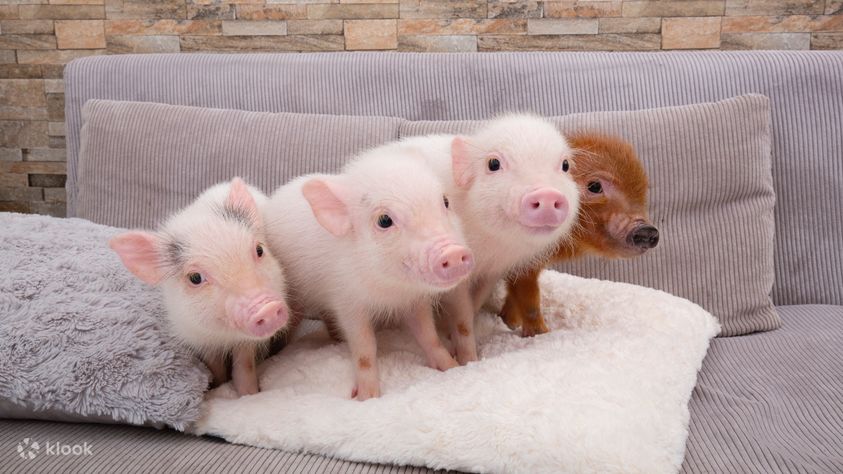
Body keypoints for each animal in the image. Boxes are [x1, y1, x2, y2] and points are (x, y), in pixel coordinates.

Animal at [109, 177, 290, 396]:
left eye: (259, 250)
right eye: (195, 278)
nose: (267, 307)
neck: (224, 335)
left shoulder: (247, 342)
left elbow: (245, 365)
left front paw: (249, 394)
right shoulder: (198, 336)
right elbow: (214, 365)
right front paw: (217, 387)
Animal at [264, 147, 474, 400]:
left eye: (445, 202)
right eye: (384, 220)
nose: (453, 252)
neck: (391, 291)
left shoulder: (415, 301)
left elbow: (428, 335)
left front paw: (452, 367)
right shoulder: (348, 302)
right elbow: (364, 349)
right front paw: (367, 397)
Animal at [382, 114, 581, 364]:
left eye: (565, 165)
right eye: (493, 164)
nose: (547, 193)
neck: (491, 246)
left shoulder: (494, 271)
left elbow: (476, 301)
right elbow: (462, 315)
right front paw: (467, 360)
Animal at [500, 132, 659, 336]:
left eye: (643, 189)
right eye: (595, 186)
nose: (647, 229)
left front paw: (508, 322)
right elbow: (530, 300)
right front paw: (541, 334)